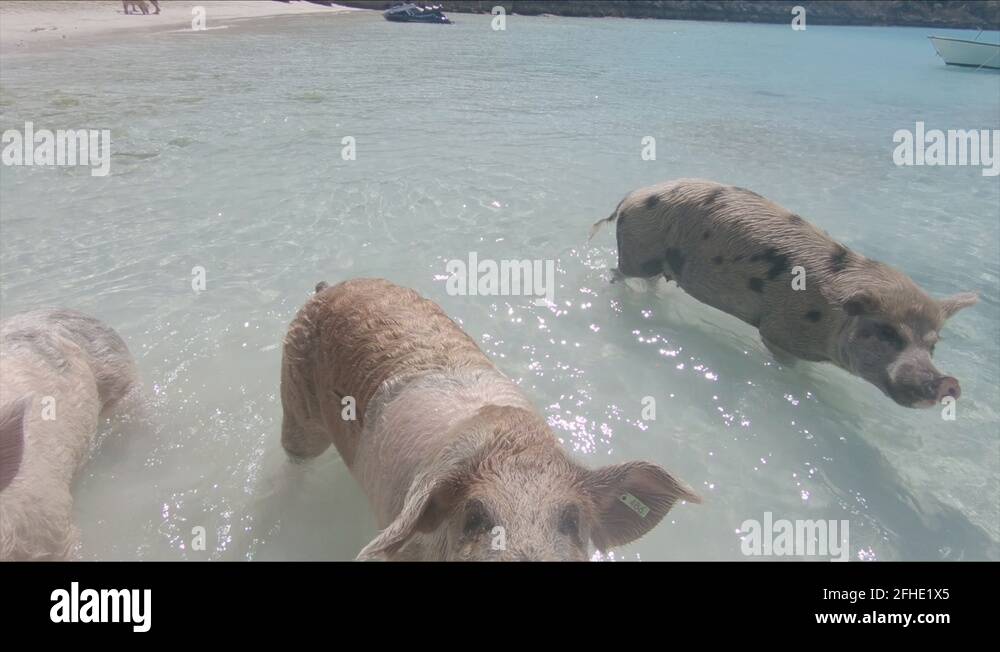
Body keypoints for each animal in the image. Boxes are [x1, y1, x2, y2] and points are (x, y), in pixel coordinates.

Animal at [590, 178, 977, 408]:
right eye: (888, 334)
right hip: (639, 253)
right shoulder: (779, 332)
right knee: (618, 273)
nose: (947, 383)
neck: (831, 316)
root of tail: (630, 197)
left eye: (932, 346)